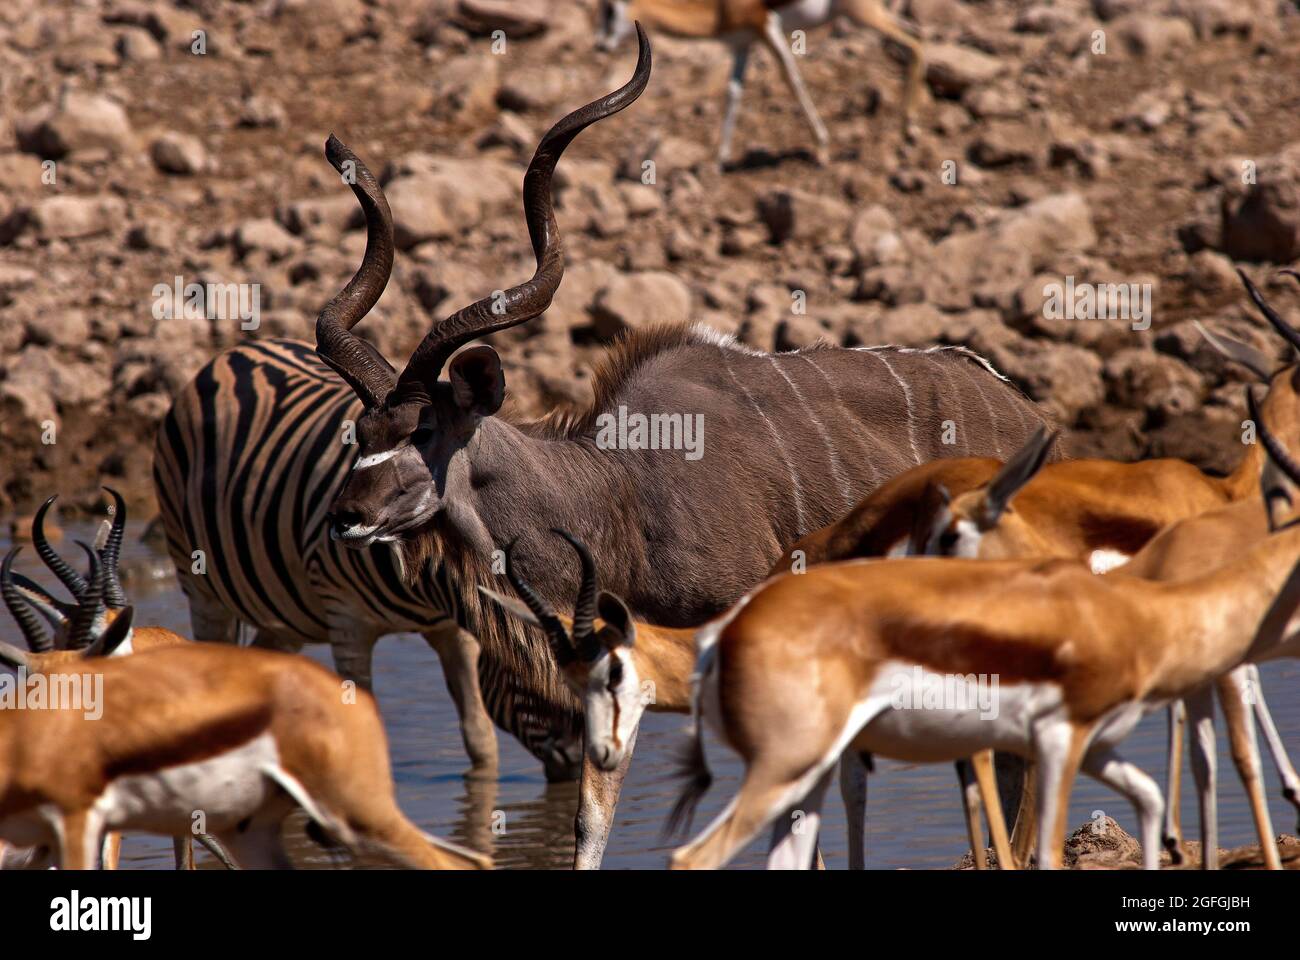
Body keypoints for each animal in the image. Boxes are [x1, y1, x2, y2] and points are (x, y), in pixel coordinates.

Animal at [595, 2, 926, 166]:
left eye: (609, 12)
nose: (600, 46)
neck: (721, 10)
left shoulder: (768, 28)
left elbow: (790, 78)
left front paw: (821, 148)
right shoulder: (743, 44)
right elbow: (734, 92)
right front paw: (720, 159)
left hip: (860, 14)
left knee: (913, 41)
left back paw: (909, 126)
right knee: (917, 34)